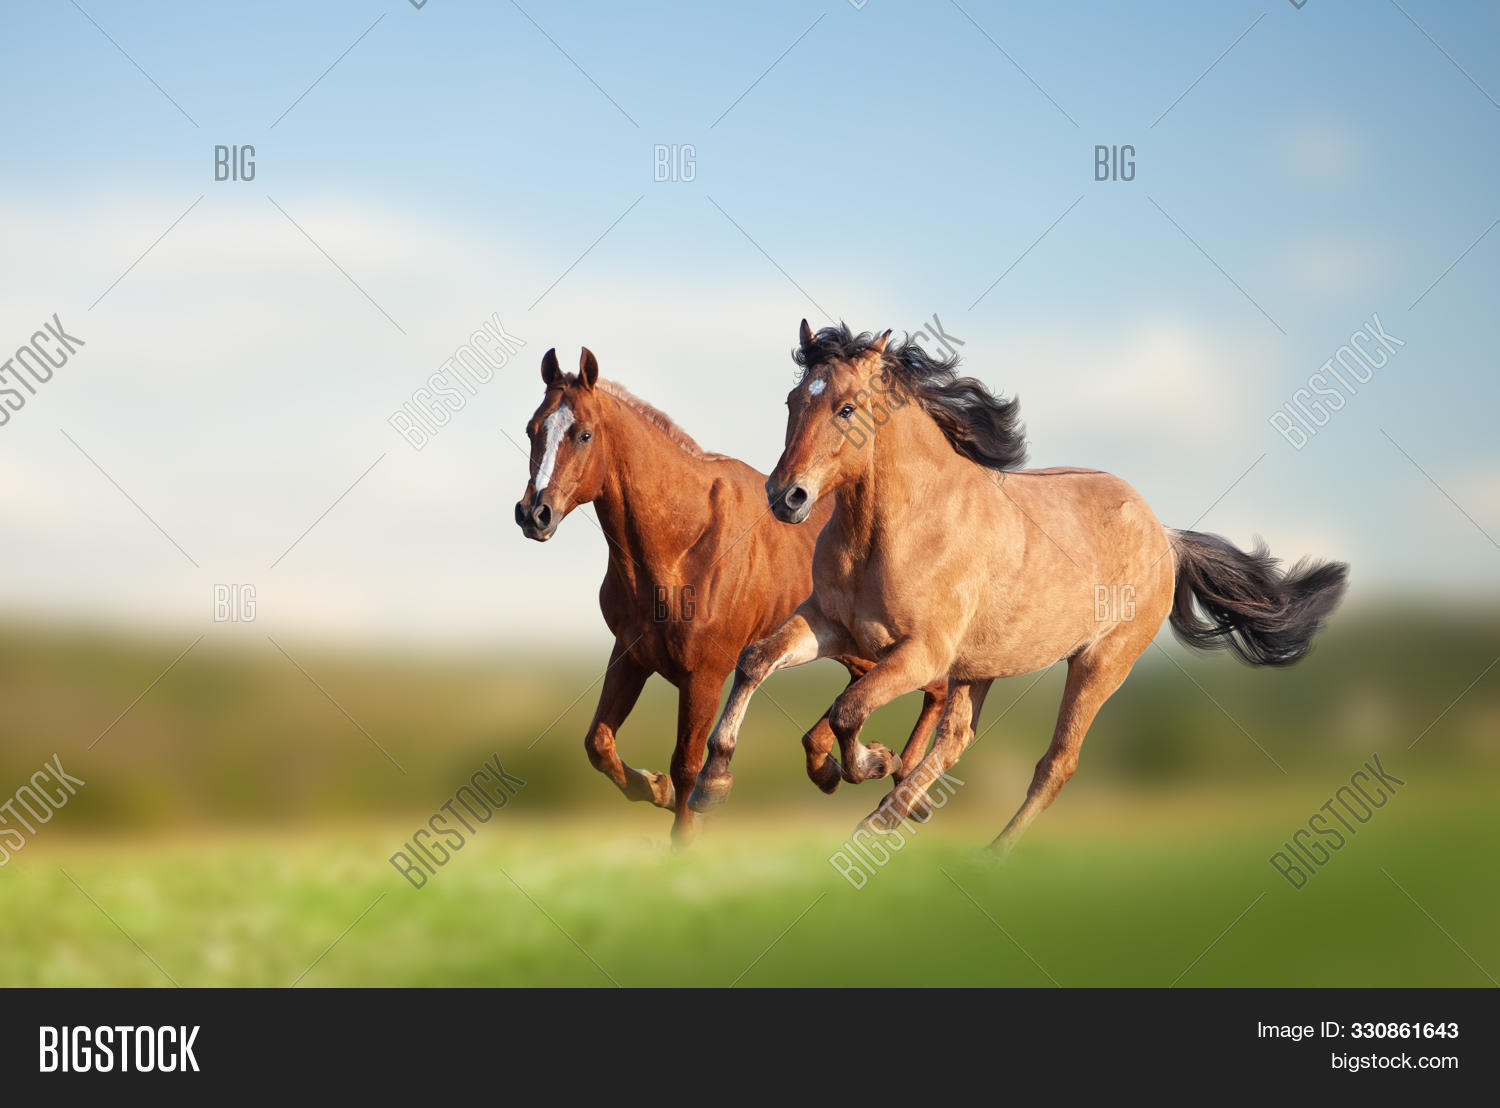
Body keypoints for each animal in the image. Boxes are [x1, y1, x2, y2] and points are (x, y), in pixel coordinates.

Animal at [514, 346, 947, 841]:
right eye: (533, 429)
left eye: (584, 433)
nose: (534, 513)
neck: (686, 542)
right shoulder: (631, 654)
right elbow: (599, 744)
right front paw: (656, 789)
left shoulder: (704, 673)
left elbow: (686, 764)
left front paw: (685, 831)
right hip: (851, 646)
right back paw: (850, 770)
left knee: (934, 687)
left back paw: (901, 786)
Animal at [689, 321, 1349, 851]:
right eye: (793, 400)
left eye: (847, 408)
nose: (786, 497)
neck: (897, 526)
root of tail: (1165, 536)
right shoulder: (831, 626)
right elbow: (757, 661)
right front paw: (714, 784)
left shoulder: (921, 654)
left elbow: (849, 709)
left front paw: (870, 761)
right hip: (980, 668)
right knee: (957, 738)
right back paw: (893, 814)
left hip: (1098, 664)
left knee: (1055, 764)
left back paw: (986, 852)